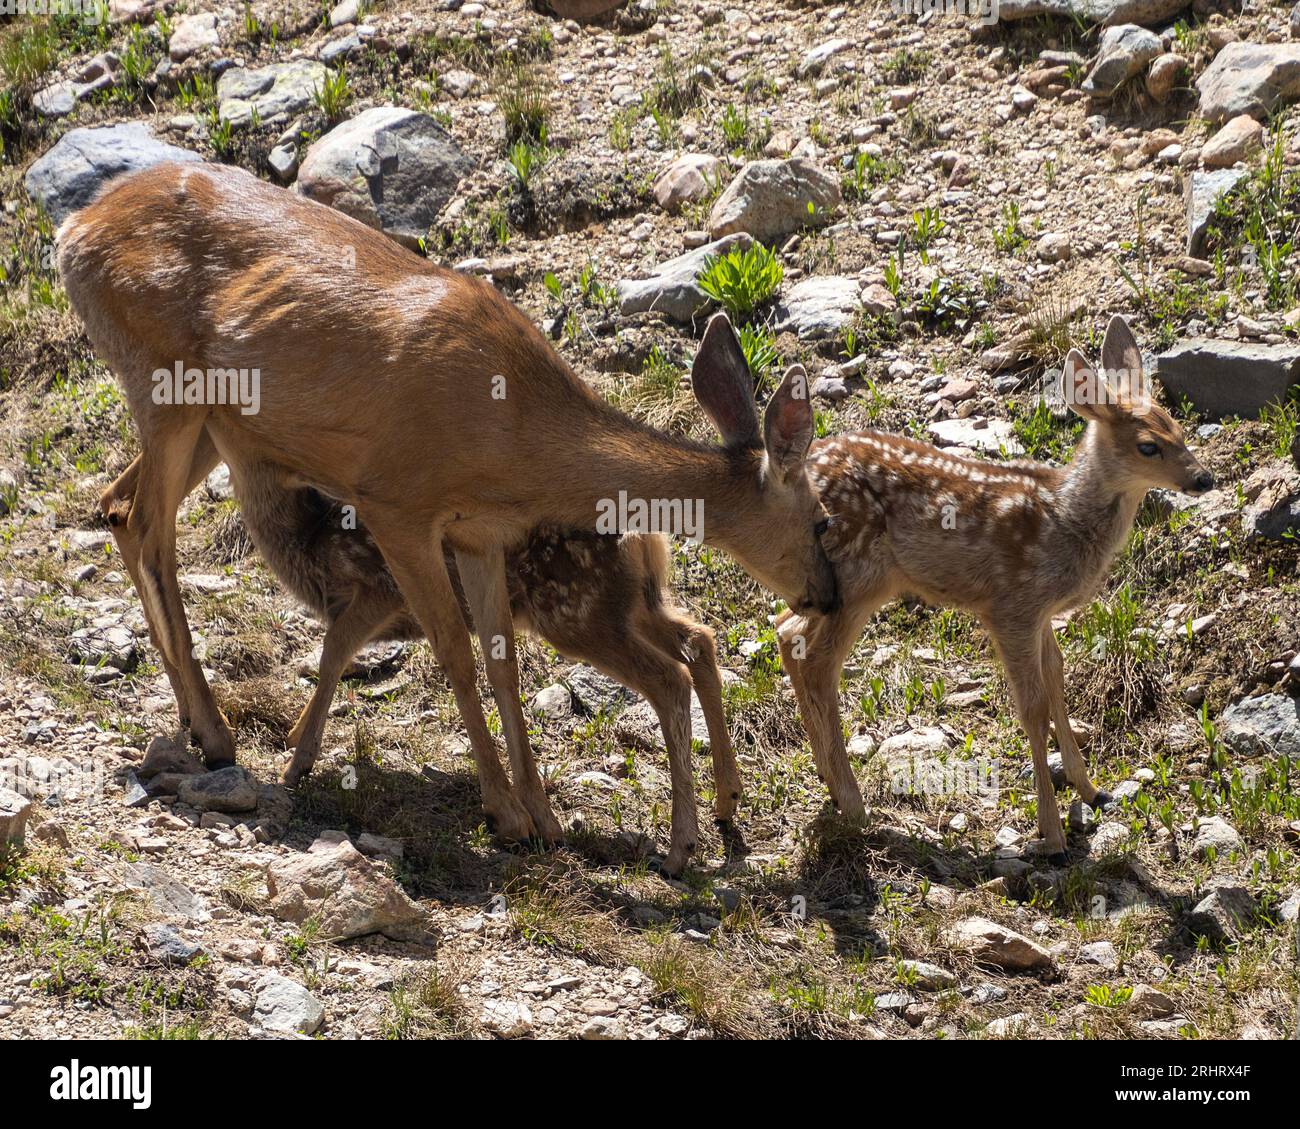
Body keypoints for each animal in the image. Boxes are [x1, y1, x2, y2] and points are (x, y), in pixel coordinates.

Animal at [57, 160, 837, 856]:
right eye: (823, 518)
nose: (827, 597)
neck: (514, 436)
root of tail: (72, 232)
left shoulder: (479, 534)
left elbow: (503, 663)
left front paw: (543, 815)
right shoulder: (397, 503)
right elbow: (455, 653)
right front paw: (507, 812)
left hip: (203, 422)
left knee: (117, 505)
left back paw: (194, 723)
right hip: (163, 380)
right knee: (148, 527)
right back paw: (218, 736)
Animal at [774, 316, 1214, 863]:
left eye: (1179, 428)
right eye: (1149, 446)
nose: (1204, 478)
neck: (1064, 522)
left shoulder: (1041, 614)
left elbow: (1058, 684)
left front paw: (1093, 791)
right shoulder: (1011, 607)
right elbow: (1033, 709)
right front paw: (1051, 836)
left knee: (785, 631)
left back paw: (830, 784)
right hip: (859, 577)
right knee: (816, 661)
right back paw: (855, 805)